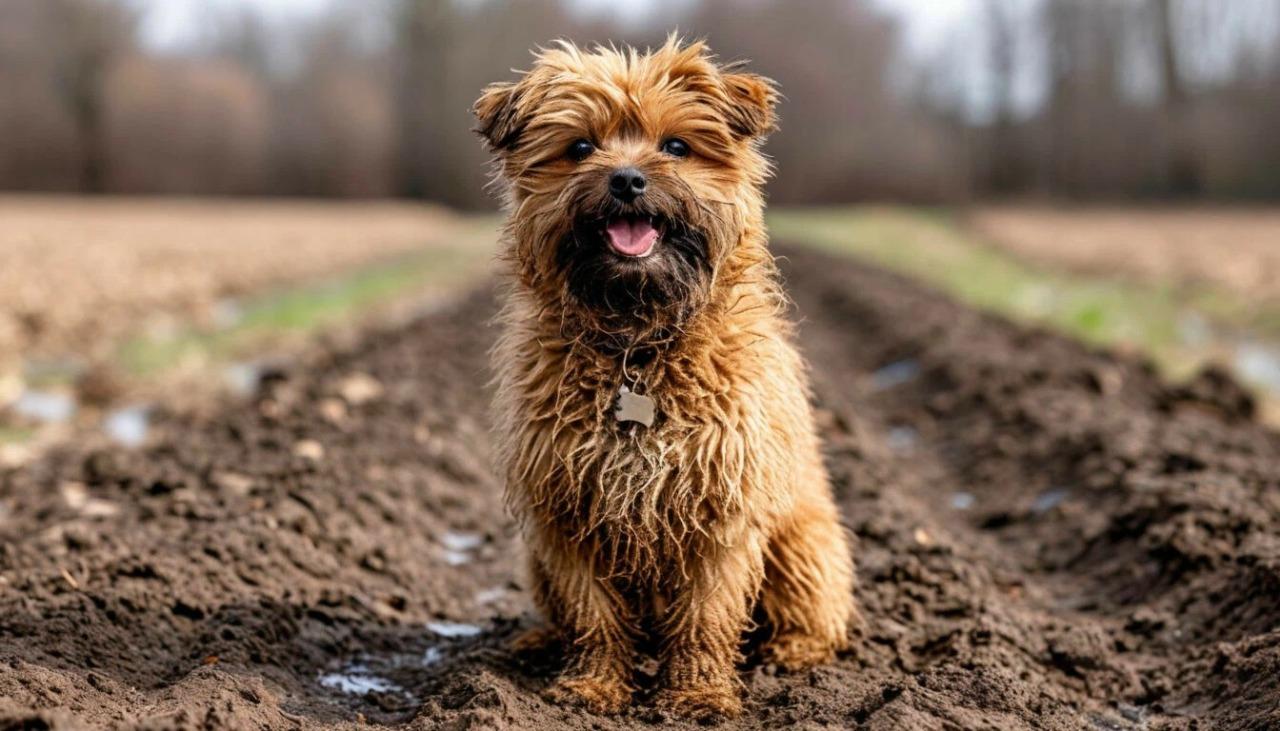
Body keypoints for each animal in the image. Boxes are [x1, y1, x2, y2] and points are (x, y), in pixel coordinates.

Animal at [476, 38, 855, 722]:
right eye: (581, 147)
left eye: (675, 145)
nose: (627, 178)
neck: (638, 346)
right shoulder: (567, 512)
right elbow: (593, 617)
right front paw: (593, 687)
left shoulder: (722, 507)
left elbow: (706, 618)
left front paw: (698, 695)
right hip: (534, 558)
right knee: (561, 614)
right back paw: (538, 640)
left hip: (805, 540)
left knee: (816, 611)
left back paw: (793, 654)